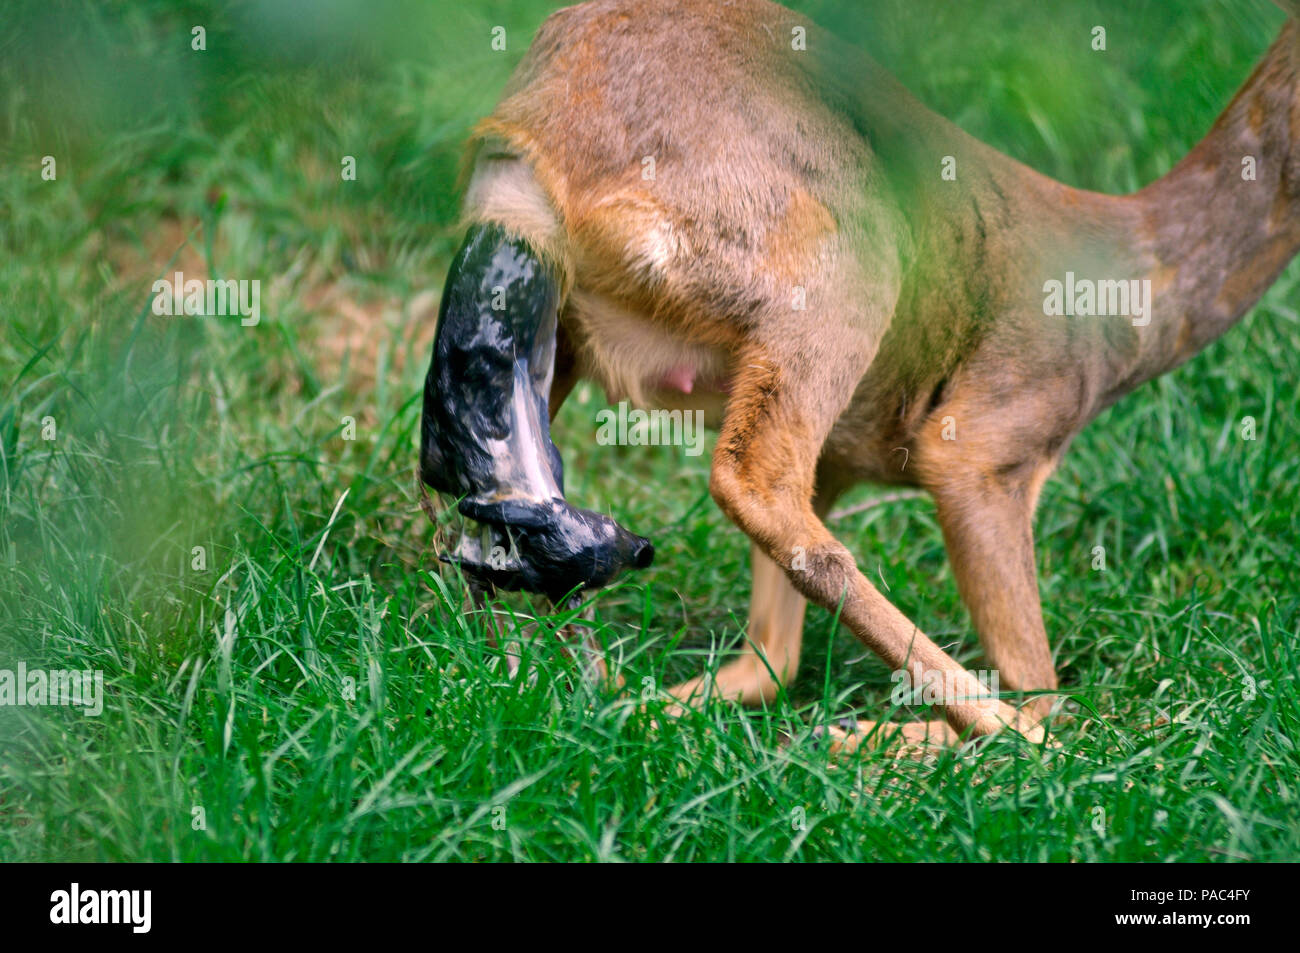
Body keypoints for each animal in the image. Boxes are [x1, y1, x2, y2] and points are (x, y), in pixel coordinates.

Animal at [419, 0, 1300, 750]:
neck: (1136, 290)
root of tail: (531, 135)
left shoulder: (844, 461)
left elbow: (771, 652)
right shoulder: (990, 440)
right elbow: (1034, 674)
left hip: (560, 321)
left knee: (469, 484)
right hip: (844, 262)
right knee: (757, 486)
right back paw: (1008, 739)